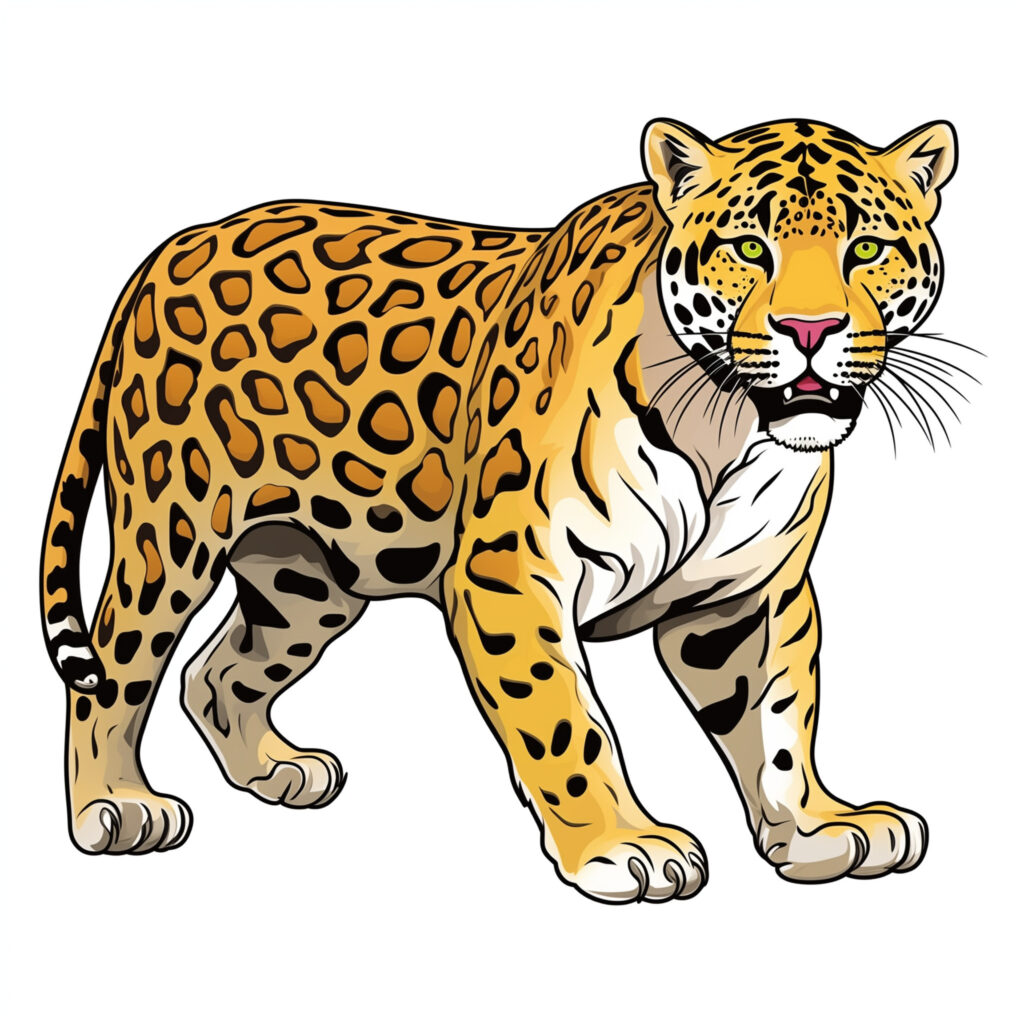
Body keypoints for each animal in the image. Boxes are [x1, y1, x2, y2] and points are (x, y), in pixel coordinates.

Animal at [41, 116, 957, 903]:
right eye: (747, 249)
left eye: (866, 249)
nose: (810, 329)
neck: (725, 426)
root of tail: (178, 241)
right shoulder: (509, 569)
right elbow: (565, 720)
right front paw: (623, 845)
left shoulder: (747, 595)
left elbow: (777, 720)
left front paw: (817, 828)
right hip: (172, 531)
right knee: (117, 666)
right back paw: (117, 806)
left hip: (311, 575)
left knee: (216, 672)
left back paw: (278, 769)